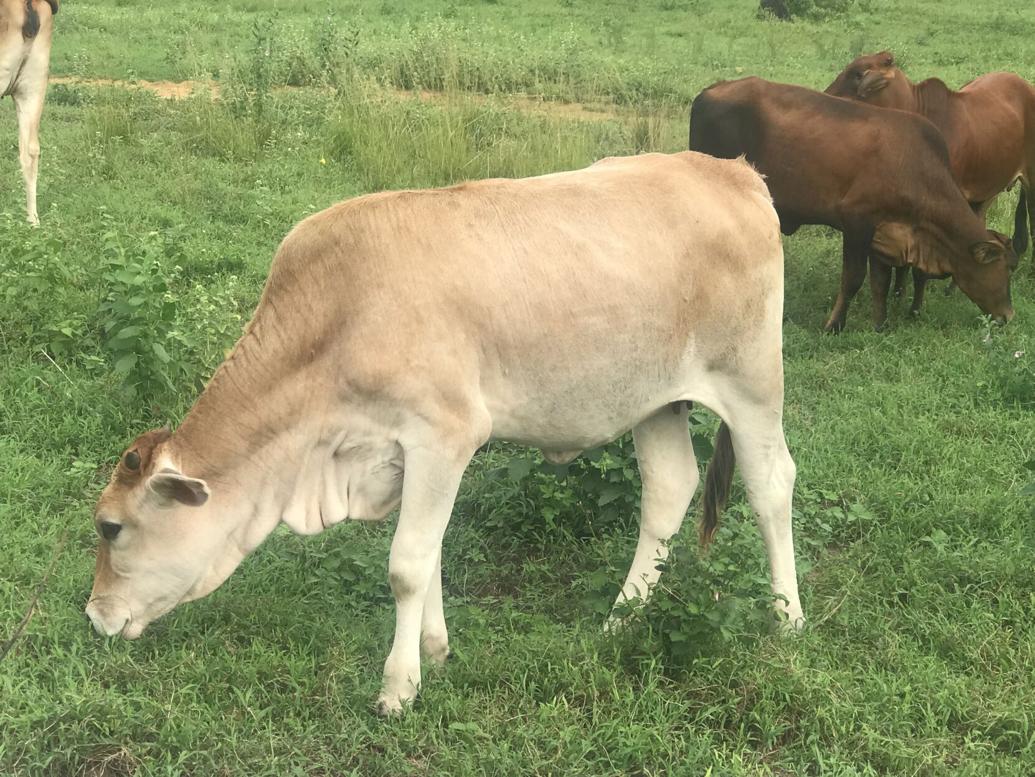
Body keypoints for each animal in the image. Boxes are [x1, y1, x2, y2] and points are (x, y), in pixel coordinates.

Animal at [86, 152, 804, 715]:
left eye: (111, 527)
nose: (94, 615)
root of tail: (732, 171)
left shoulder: (444, 436)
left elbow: (407, 564)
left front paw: (397, 687)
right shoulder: (406, 453)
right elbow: (428, 554)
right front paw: (434, 649)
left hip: (751, 382)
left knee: (771, 486)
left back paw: (787, 617)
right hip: (656, 399)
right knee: (668, 490)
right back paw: (619, 618)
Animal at [689, 77, 1017, 332]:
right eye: (1004, 271)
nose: (1008, 316)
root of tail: (710, 91)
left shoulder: (885, 234)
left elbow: (880, 282)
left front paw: (880, 324)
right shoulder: (857, 221)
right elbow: (854, 279)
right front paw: (834, 325)